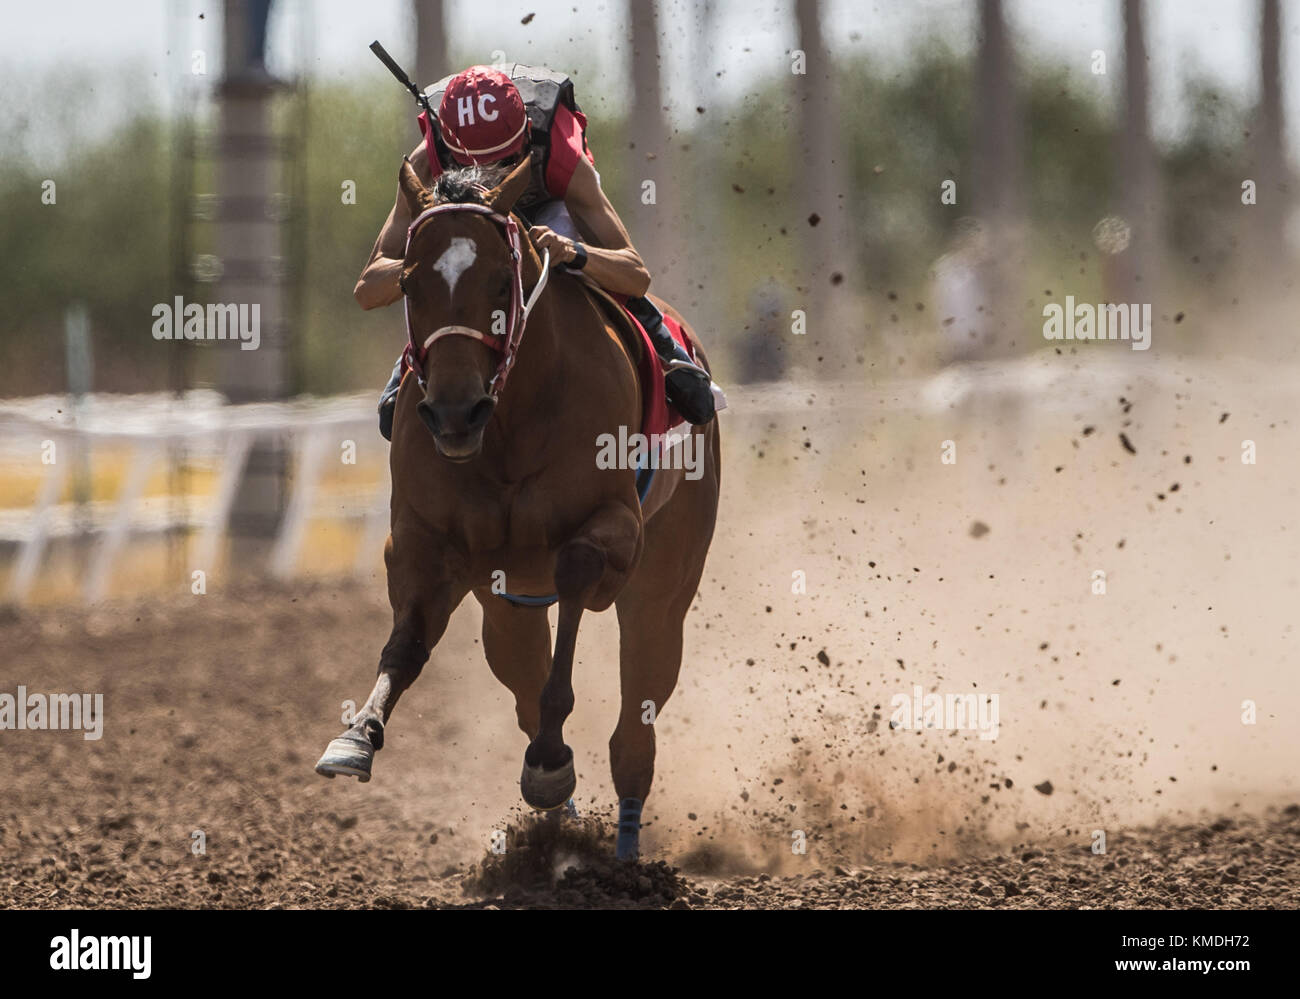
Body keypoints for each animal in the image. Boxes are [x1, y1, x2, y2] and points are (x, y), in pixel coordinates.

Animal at [315, 156, 721, 860]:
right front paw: (357, 735)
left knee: (636, 715)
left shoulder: (614, 531)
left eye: (503, 280)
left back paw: (622, 852)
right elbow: (407, 642)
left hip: (665, 585)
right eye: (410, 284)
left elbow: (576, 587)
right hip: (506, 606)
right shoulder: (426, 543)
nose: (454, 413)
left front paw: (551, 760)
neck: (508, 424)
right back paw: (560, 826)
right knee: (522, 675)